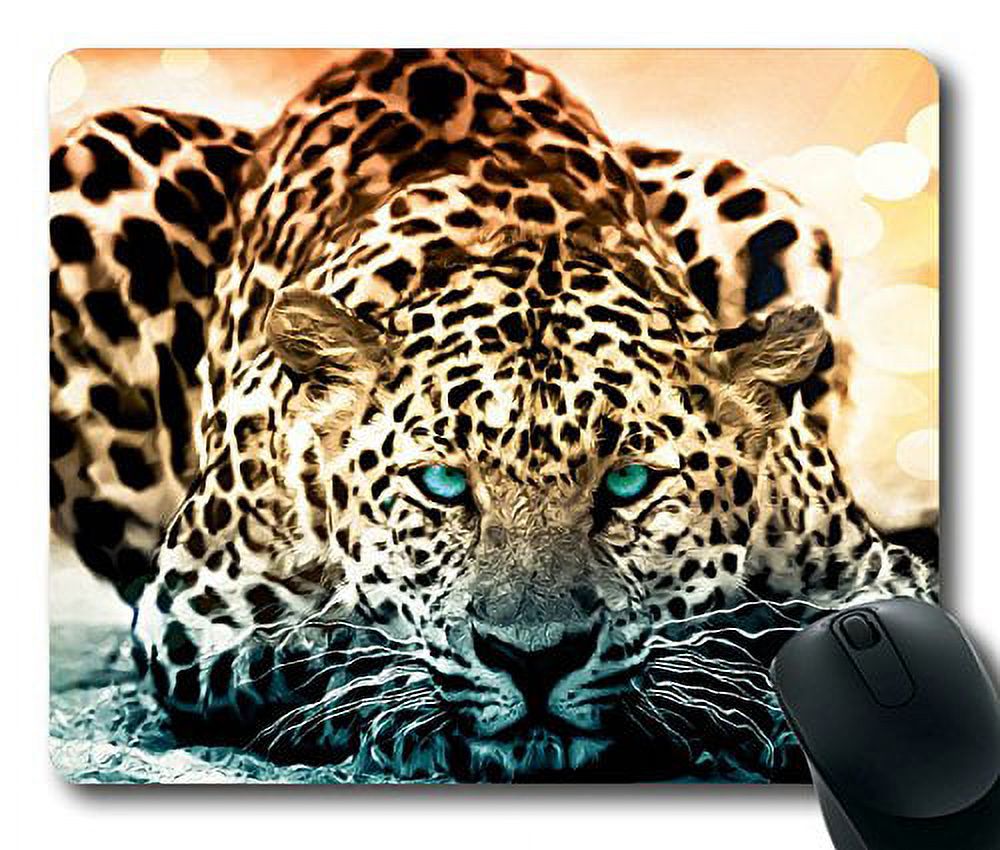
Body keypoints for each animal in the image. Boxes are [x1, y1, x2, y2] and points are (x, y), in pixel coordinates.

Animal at [50, 48, 938, 782]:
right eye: (443, 485)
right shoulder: (190, 614)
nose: (534, 658)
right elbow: (311, 650)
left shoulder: (873, 572)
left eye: (628, 483)